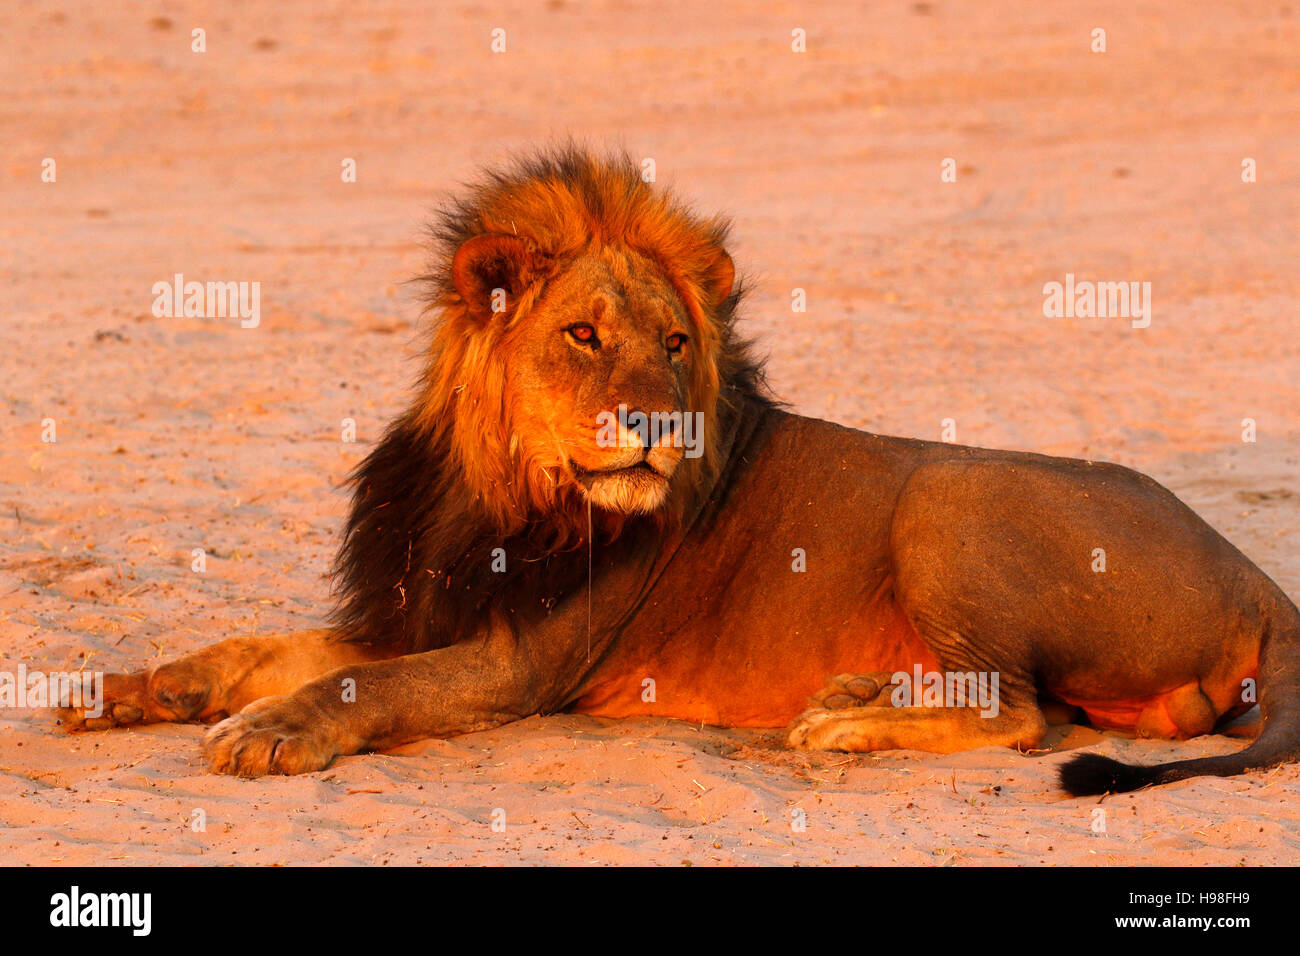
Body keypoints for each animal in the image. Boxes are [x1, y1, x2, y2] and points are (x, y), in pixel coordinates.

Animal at [56, 146, 1300, 797]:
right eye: (584, 335)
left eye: (672, 343)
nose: (659, 420)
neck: (493, 487)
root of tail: (1256, 578)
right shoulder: (412, 607)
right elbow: (255, 648)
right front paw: (129, 688)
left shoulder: (519, 663)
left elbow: (365, 686)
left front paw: (268, 729)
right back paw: (854, 695)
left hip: (951, 496)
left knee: (1018, 709)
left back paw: (839, 726)